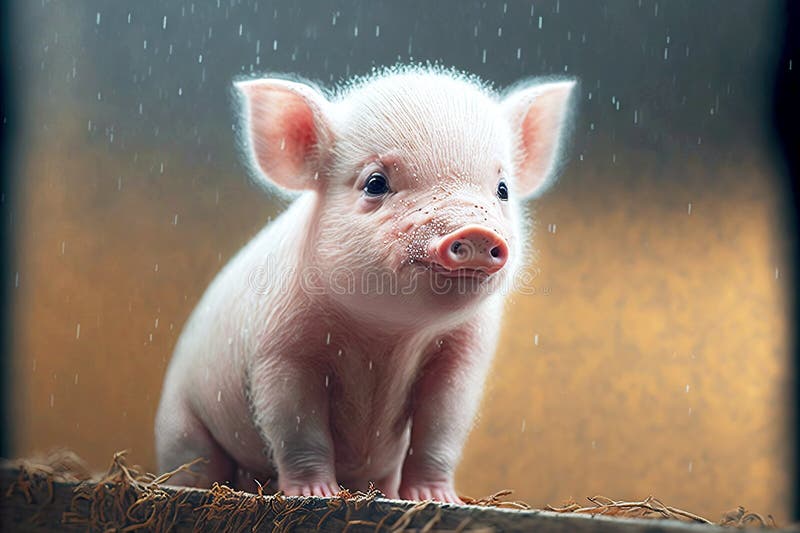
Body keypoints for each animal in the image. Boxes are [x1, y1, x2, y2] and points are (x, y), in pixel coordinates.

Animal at [155, 65, 575, 503]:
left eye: (503, 190)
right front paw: (317, 493)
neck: (386, 336)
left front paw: (435, 499)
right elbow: (298, 427)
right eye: (375, 183)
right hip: (180, 419)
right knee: (197, 459)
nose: (475, 231)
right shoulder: (278, 350)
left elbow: (440, 429)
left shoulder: (463, 355)